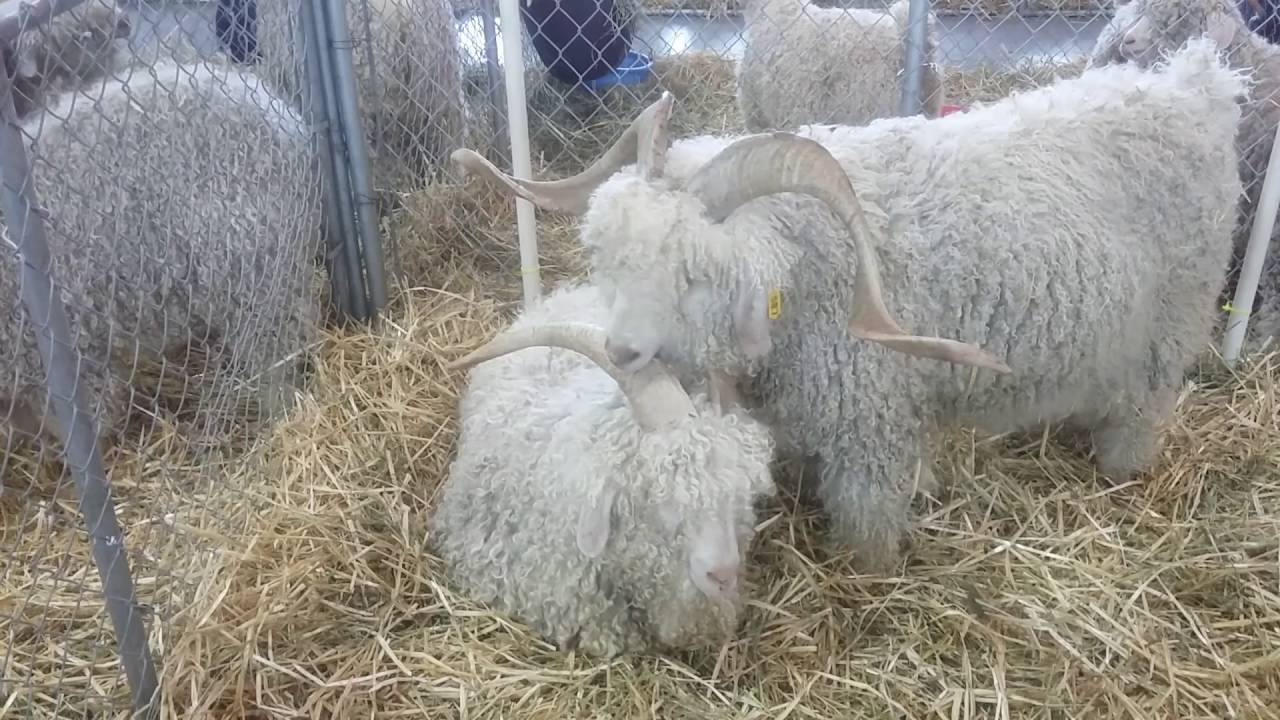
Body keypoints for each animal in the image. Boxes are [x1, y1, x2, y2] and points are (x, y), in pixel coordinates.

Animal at [1, 56, 326, 451]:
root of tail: (285, 120)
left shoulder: (56, 348)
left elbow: (89, 412)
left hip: (251, 268)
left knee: (274, 344)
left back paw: (280, 407)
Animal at [450, 39, 1246, 574]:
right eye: (609, 257)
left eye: (695, 276)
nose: (620, 350)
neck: (806, 270)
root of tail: (1198, 85)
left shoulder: (871, 413)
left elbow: (866, 508)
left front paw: (867, 572)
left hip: (1173, 316)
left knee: (1146, 402)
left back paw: (1121, 469)